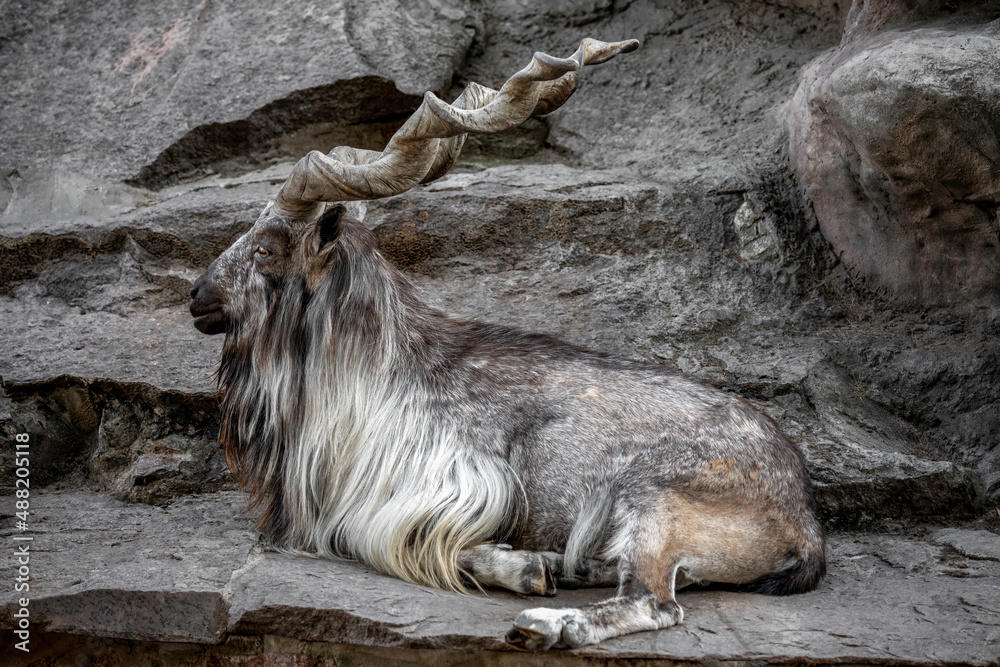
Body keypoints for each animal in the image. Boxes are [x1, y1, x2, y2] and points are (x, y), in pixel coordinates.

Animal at [189, 38, 826, 650]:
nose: (197, 295)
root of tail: (803, 521)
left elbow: (384, 539)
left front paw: (523, 568)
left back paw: (546, 622)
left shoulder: (428, 492)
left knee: (653, 600)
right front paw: (533, 562)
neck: (381, 371)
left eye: (266, 248)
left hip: (654, 500)